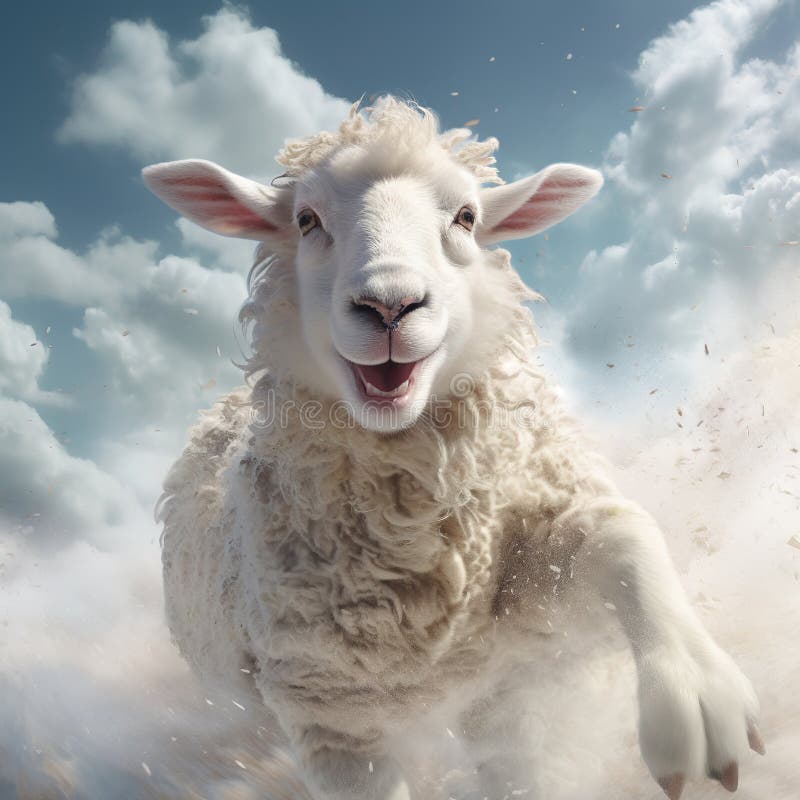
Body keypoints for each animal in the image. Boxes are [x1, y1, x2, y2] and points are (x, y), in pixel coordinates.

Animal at [143, 97, 764, 800]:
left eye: (467, 217)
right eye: (306, 220)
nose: (389, 305)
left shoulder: (530, 570)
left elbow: (621, 534)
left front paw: (694, 695)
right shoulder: (328, 715)